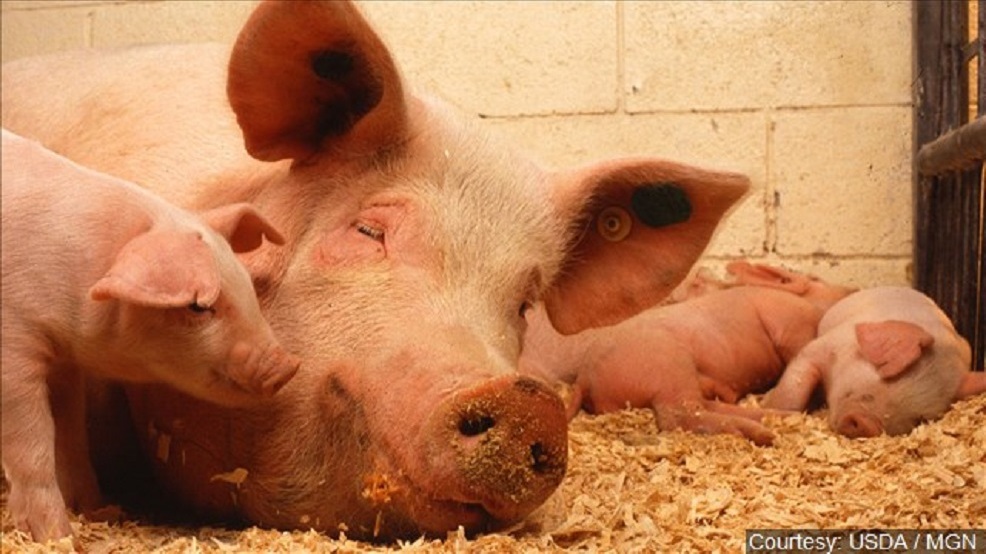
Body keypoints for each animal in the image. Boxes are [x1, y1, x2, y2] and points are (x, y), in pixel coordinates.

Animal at [1, 128, 301, 542]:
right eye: (197, 306)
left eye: (246, 284)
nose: (287, 364)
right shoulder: (13, 347)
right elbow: (33, 443)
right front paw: (57, 536)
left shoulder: (63, 361)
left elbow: (71, 435)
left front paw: (99, 511)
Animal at [521, 261, 856, 445]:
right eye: (818, 280)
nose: (852, 290)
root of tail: (585, 379)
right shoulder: (789, 321)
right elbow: (796, 348)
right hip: (670, 366)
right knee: (678, 416)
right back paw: (762, 434)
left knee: (701, 406)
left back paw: (772, 421)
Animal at [763, 286, 986, 437]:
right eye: (888, 378)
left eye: (919, 418)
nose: (867, 425)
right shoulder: (823, 346)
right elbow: (795, 388)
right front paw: (772, 408)